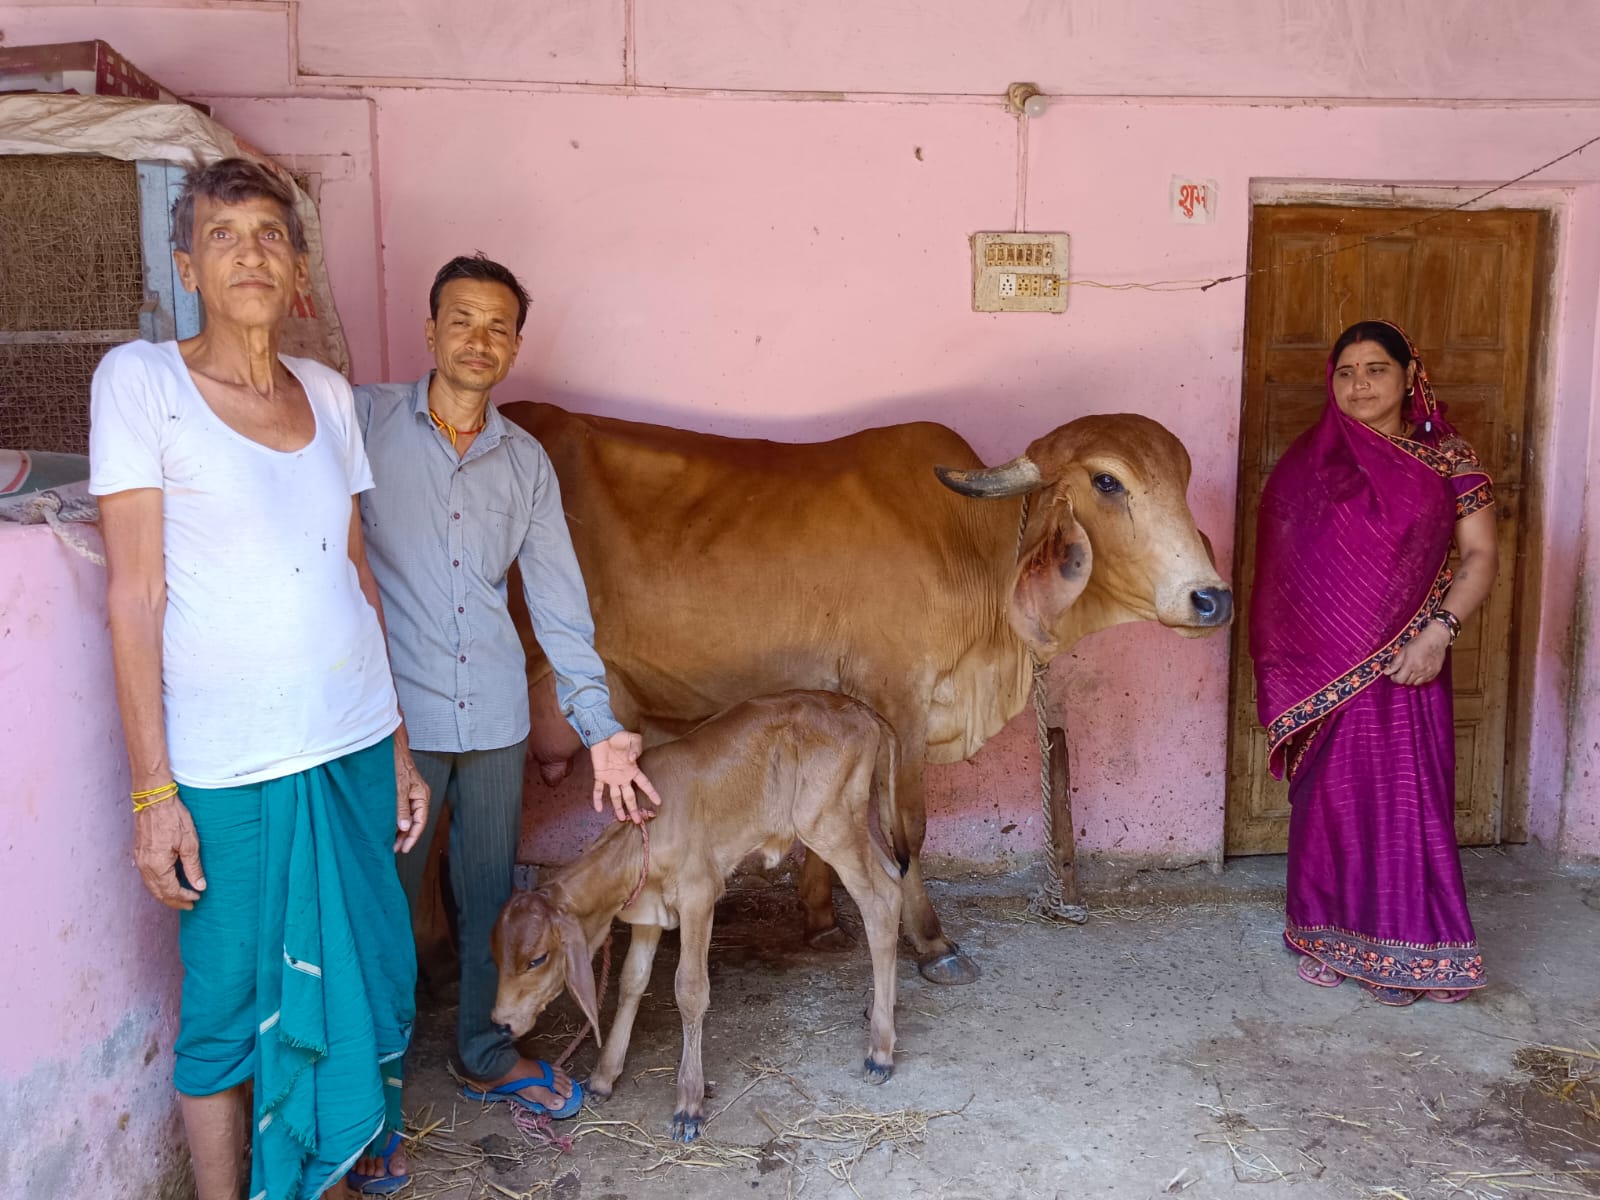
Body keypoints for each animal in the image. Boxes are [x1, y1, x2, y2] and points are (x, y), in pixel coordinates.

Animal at [490, 690, 906, 1143]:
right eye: (496, 957)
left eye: (537, 959)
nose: (500, 1023)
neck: (646, 830)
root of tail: (862, 710)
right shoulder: (648, 911)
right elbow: (631, 981)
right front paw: (604, 1075)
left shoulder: (698, 895)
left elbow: (689, 991)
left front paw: (688, 1103)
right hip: (855, 825)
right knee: (894, 879)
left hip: (829, 824)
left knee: (881, 903)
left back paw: (880, 1050)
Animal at [504, 404, 1231, 984]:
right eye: (1107, 480)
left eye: (1184, 478)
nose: (1212, 597)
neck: (975, 549)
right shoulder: (898, 704)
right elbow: (908, 828)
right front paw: (932, 942)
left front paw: (820, 917)